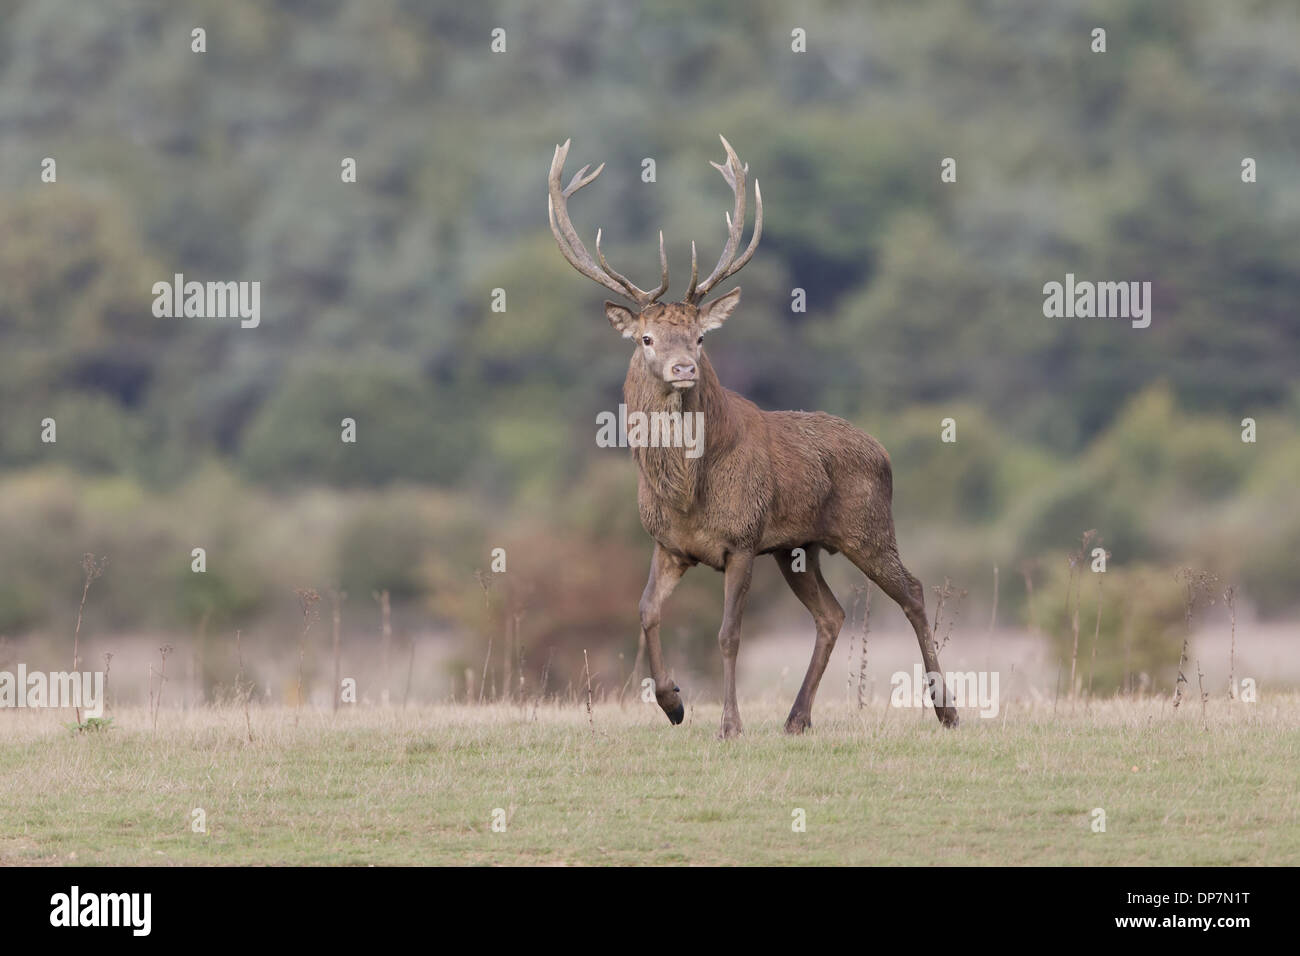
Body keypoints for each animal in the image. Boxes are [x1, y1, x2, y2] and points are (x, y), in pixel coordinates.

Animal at [548, 135, 958, 738]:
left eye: (699, 337)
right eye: (646, 338)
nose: (683, 369)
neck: (686, 494)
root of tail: (883, 452)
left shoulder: (741, 540)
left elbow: (728, 635)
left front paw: (729, 724)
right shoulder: (667, 544)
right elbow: (645, 611)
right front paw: (673, 703)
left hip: (867, 527)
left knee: (912, 590)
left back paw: (946, 708)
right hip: (798, 547)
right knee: (832, 614)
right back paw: (797, 718)